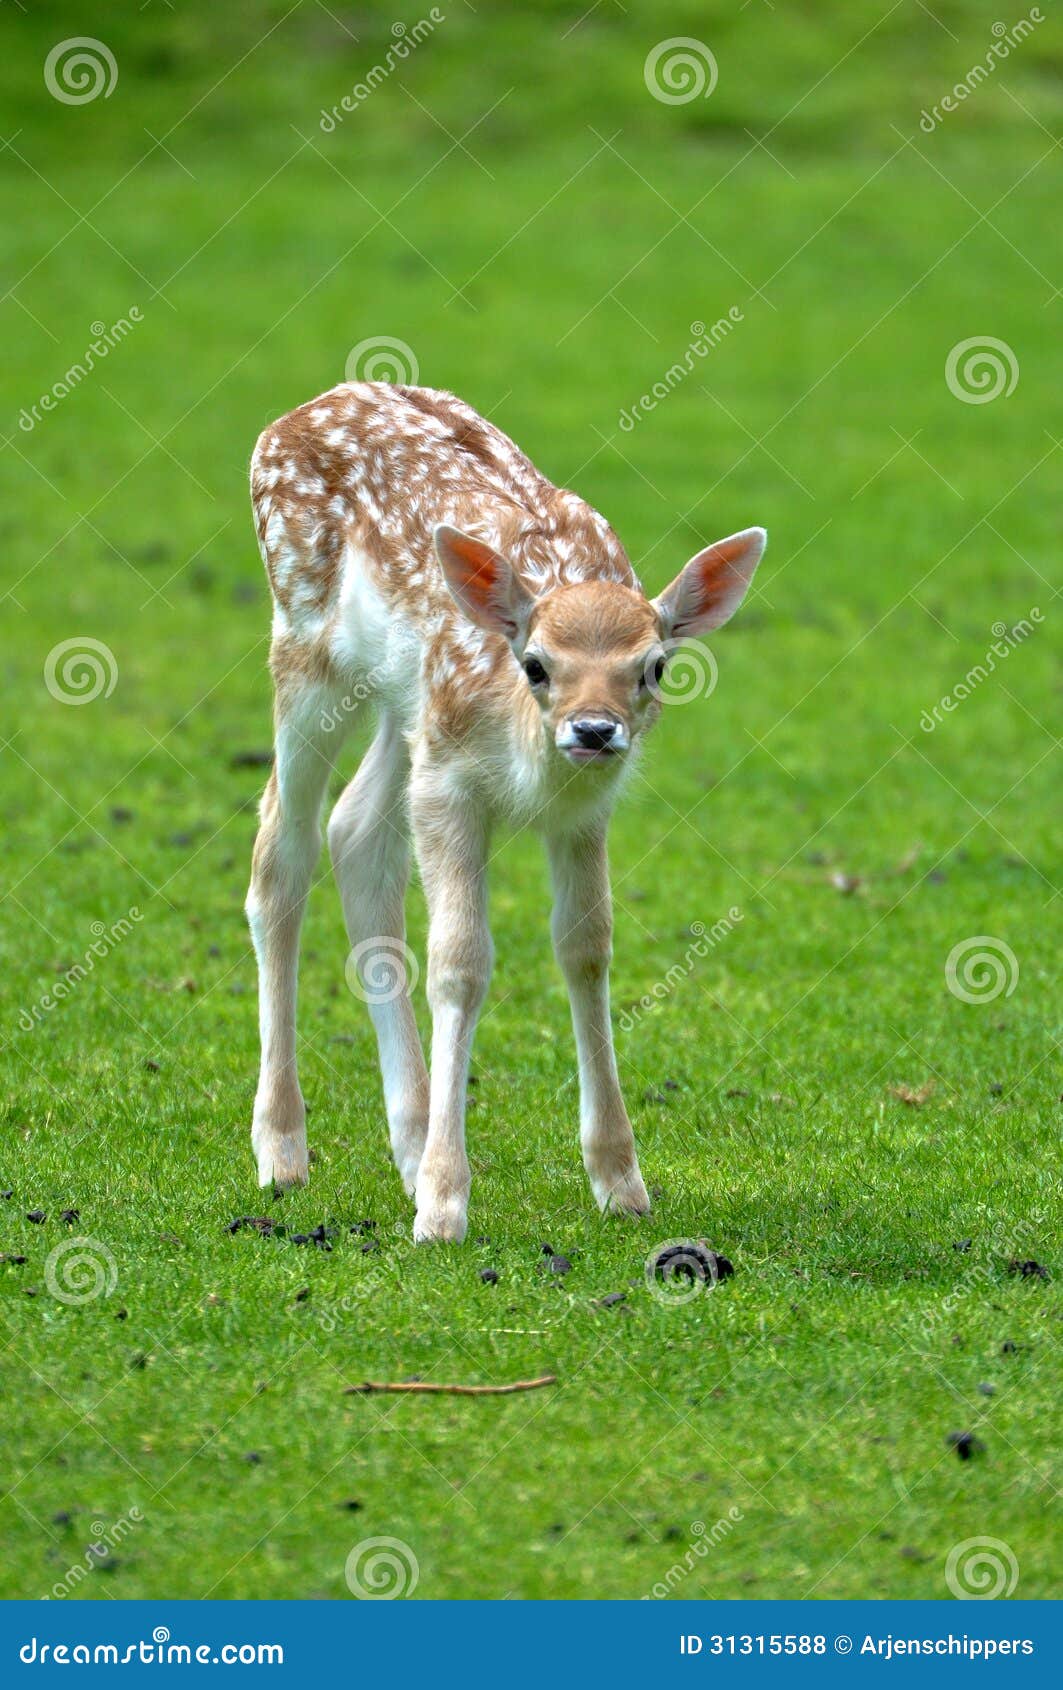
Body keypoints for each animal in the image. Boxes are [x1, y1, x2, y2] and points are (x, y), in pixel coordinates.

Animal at [246, 381, 766, 1243]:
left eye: (654, 667)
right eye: (536, 664)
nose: (593, 730)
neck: (527, 765)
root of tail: (295, 412)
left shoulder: (583, 813)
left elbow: (585, 949)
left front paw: (620, 1182)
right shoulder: (451, 784)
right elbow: (460, 961)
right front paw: (444, 1208)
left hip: (406, 705)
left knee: (355, 832)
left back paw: (408, 1143)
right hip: (304, 645)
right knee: (278, 858)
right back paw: (284, 1150)